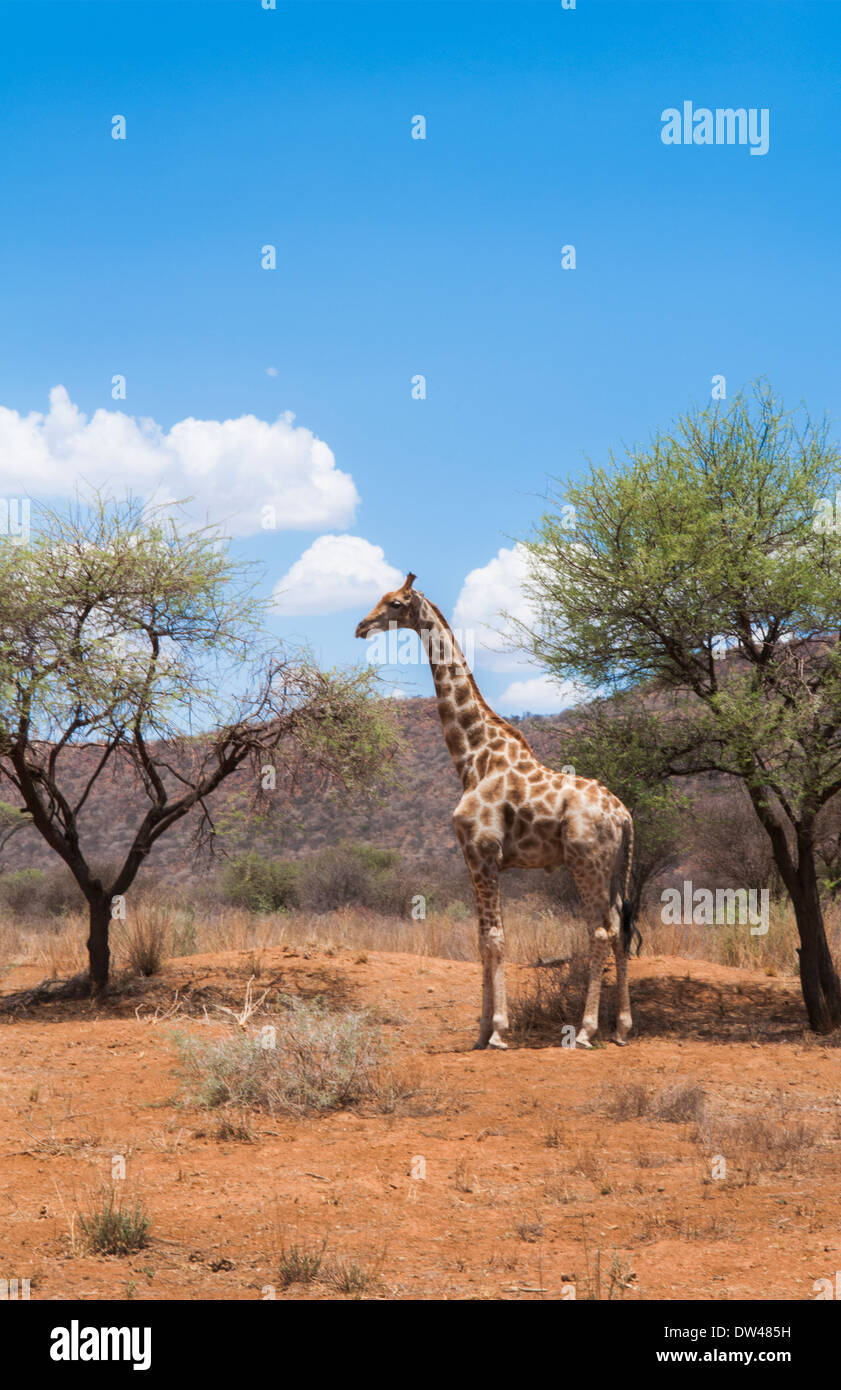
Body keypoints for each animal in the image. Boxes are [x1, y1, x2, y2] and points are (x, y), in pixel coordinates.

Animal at [355, 573, 637, 1051]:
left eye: (394, 603)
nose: (361, 626)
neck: (473, 758)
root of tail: (624, 814)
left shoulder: (483, 854)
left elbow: (494, 940)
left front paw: (499, 1031)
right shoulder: (475, 860)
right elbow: (481, 940)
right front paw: (482, 1030)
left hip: (586, 862)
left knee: (600, 931)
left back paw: (585, 1031)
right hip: (614, 868)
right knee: (620, 928)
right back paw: (621, 1028)